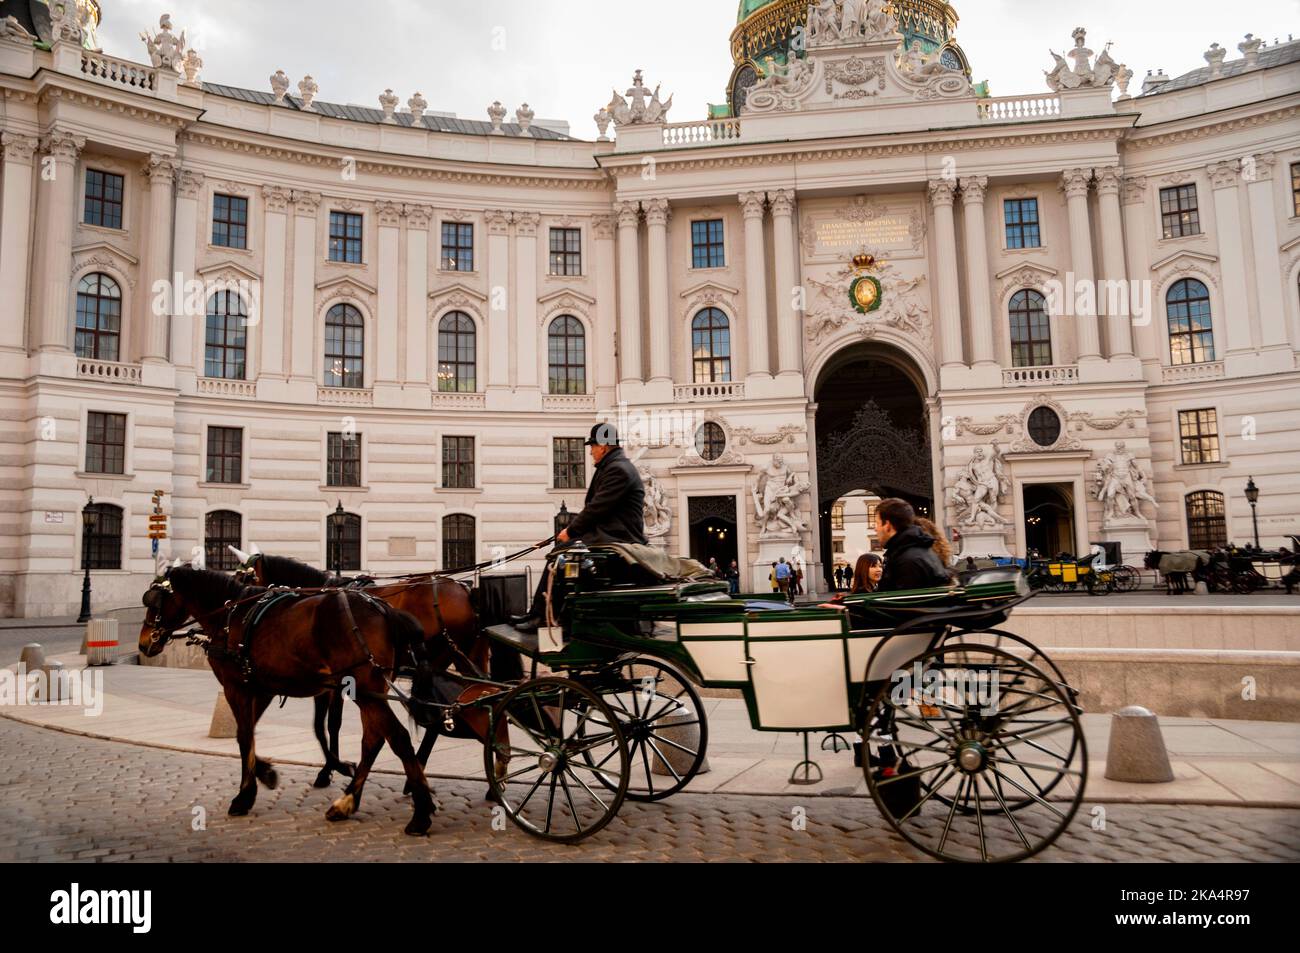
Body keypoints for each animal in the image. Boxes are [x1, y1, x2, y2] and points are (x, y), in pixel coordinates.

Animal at [140, 564, 443, 835]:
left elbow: (244, 736)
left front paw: (245, 794)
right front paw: (265, 773)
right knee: (373, 740)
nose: (144, 643)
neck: (231, 616)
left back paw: (420, 813)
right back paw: (346, 802)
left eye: (154, 601)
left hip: (365, 688)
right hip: (367, 691)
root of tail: (385, 608)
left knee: (398, 737)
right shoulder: (262, 688)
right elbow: (249, 734)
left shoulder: (237, 687)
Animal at [230, 549, 509, 799]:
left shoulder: (333, 682)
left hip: (446, 658)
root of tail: (466, 590)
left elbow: (326, 725)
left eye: (245, 578)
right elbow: (324, 725)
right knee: (484, 696)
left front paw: (331, 769)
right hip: (469, 655)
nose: (235, 611)